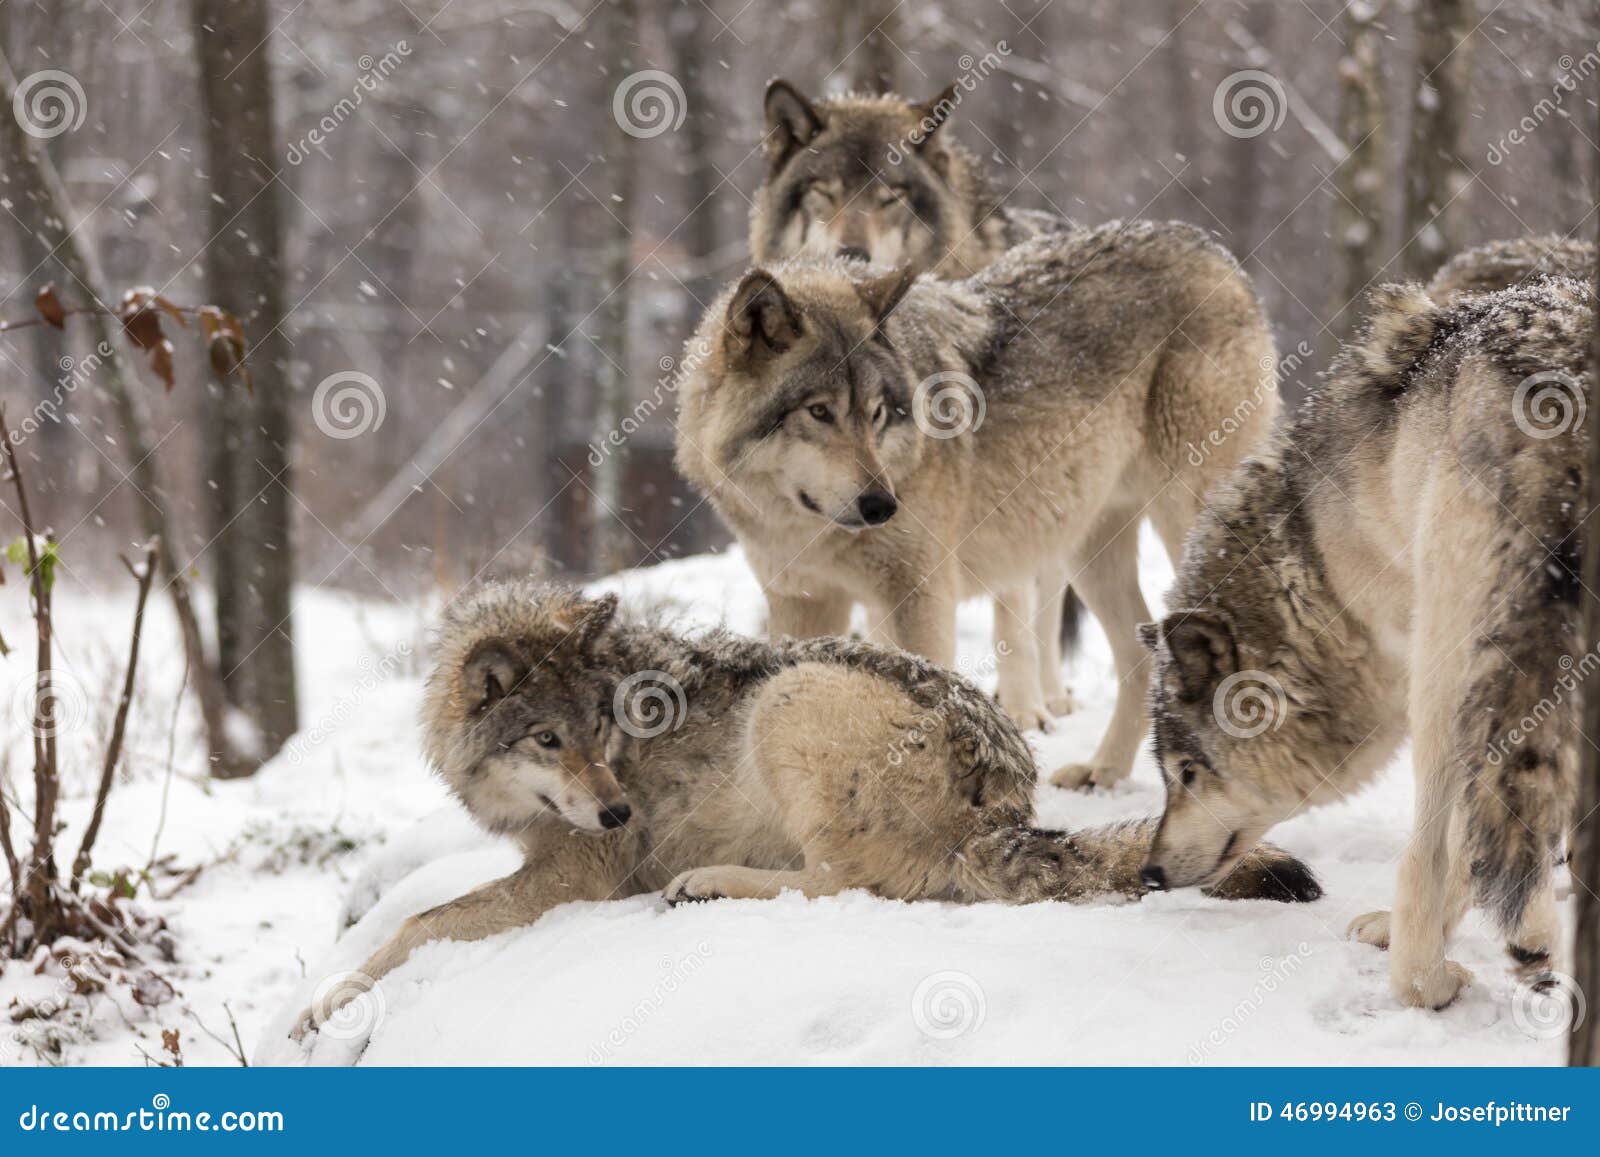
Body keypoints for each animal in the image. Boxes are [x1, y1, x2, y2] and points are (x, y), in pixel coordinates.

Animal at [293, 582, 1319, 1037]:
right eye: (549, 738)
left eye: (601, 727)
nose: (622, 814)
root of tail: (1006, 796)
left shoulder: (576, 870)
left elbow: (419, 923)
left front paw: (329, 1000)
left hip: (793, 698)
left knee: (845, 882)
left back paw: (704, 883)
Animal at [675, 219, 1278, 789]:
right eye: (819, 412)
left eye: (876, 413)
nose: (882, 505)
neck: (802, 527)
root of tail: (1212, 249)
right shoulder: (804, 603)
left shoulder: (919, 597)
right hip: (1087, 551)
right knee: (1141, 655)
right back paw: (1103, 771)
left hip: (1185, 526)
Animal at [1138, 278, 1590, 1009]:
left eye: (1186, 774)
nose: (1146, 872)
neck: (1315, 556)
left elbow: (1463, 844)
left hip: (1447, 674)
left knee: (1431, 850)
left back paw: (1428, 978)